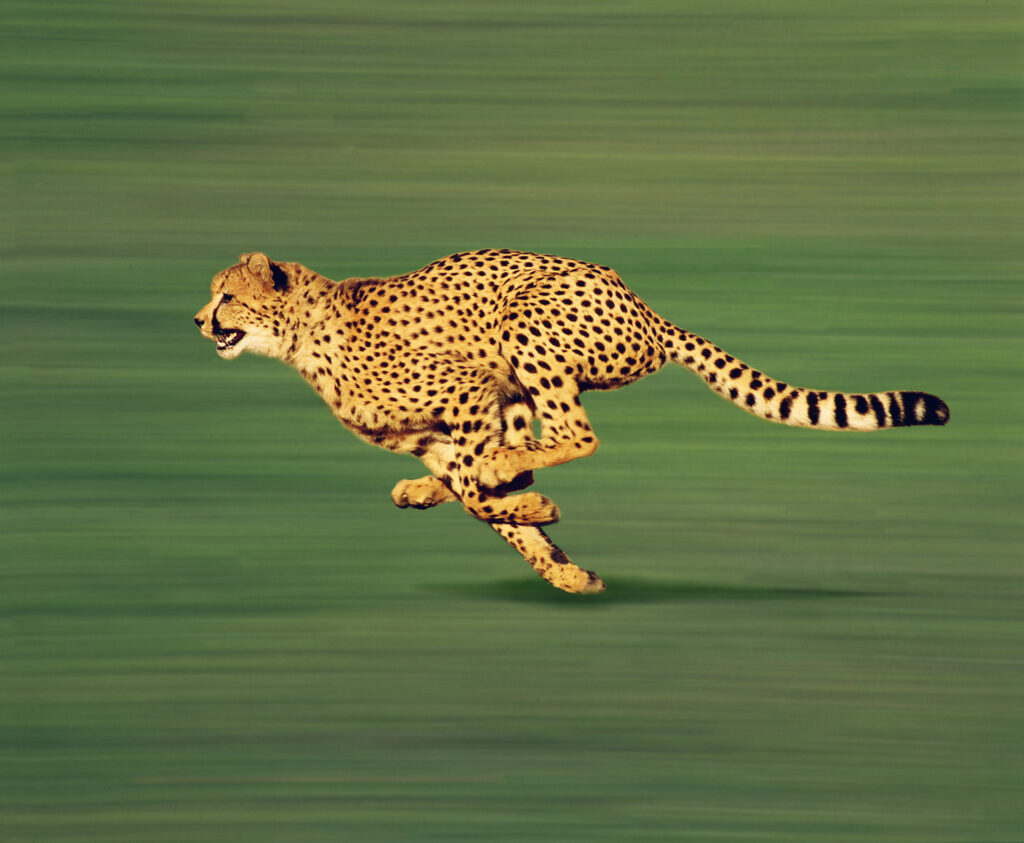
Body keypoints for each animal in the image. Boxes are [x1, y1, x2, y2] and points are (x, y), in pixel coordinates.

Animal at [194, 250, 949, 594]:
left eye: (226, 296)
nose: (198, 320)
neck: (303, 336)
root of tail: (644, 306)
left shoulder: (468, 394)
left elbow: (485, 494)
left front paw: (541, 520)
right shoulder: (445, 429)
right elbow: (485, 503)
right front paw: (564, 571)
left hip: (524, 322)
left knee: (573, 435)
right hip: (519, 381)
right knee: (526, 447)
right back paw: (429, 491)